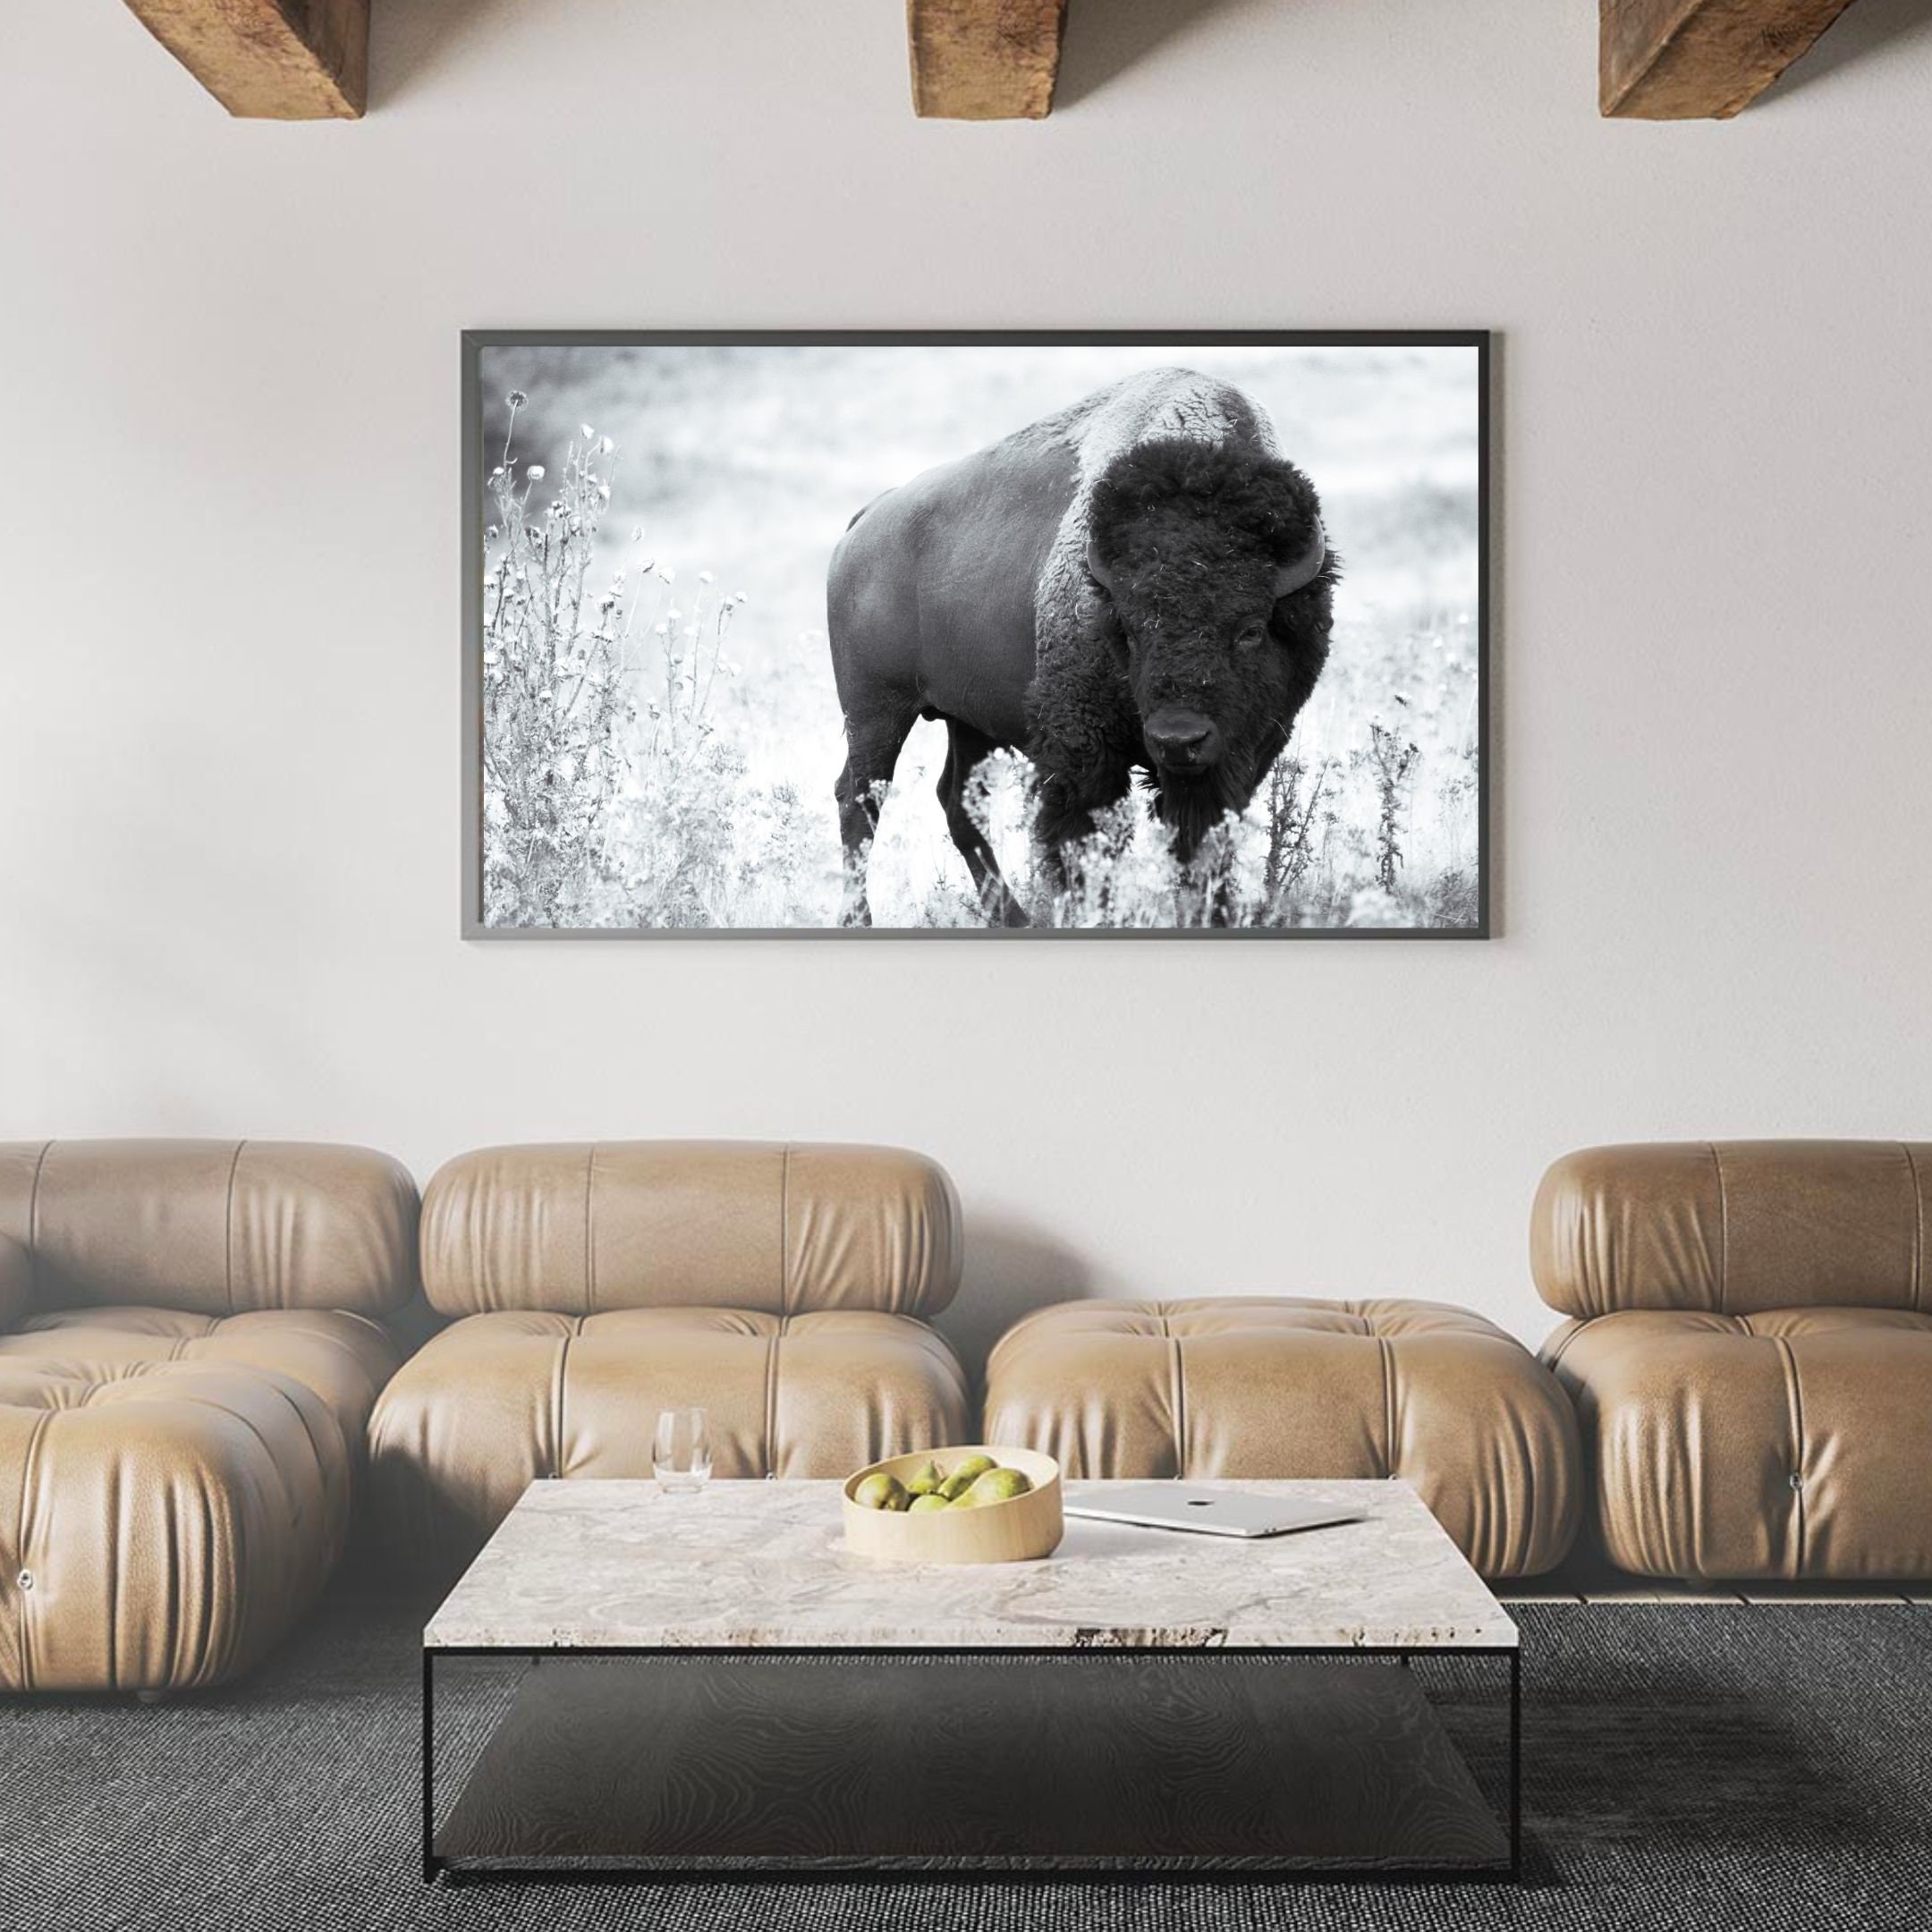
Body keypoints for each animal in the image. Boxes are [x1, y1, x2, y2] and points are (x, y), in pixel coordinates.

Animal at [827, 367, 1334, 926]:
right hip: (876, 711)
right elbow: (1082, 842)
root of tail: (866, 521)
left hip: (966, 720)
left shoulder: (1238, 755)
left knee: (955, 799)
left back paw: (1013, 917)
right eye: (1129, 628)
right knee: (860, 799)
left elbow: (1201, 842)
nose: (1179, 738)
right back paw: (859, 918)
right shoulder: (1083, 753)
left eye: (1251, 630)